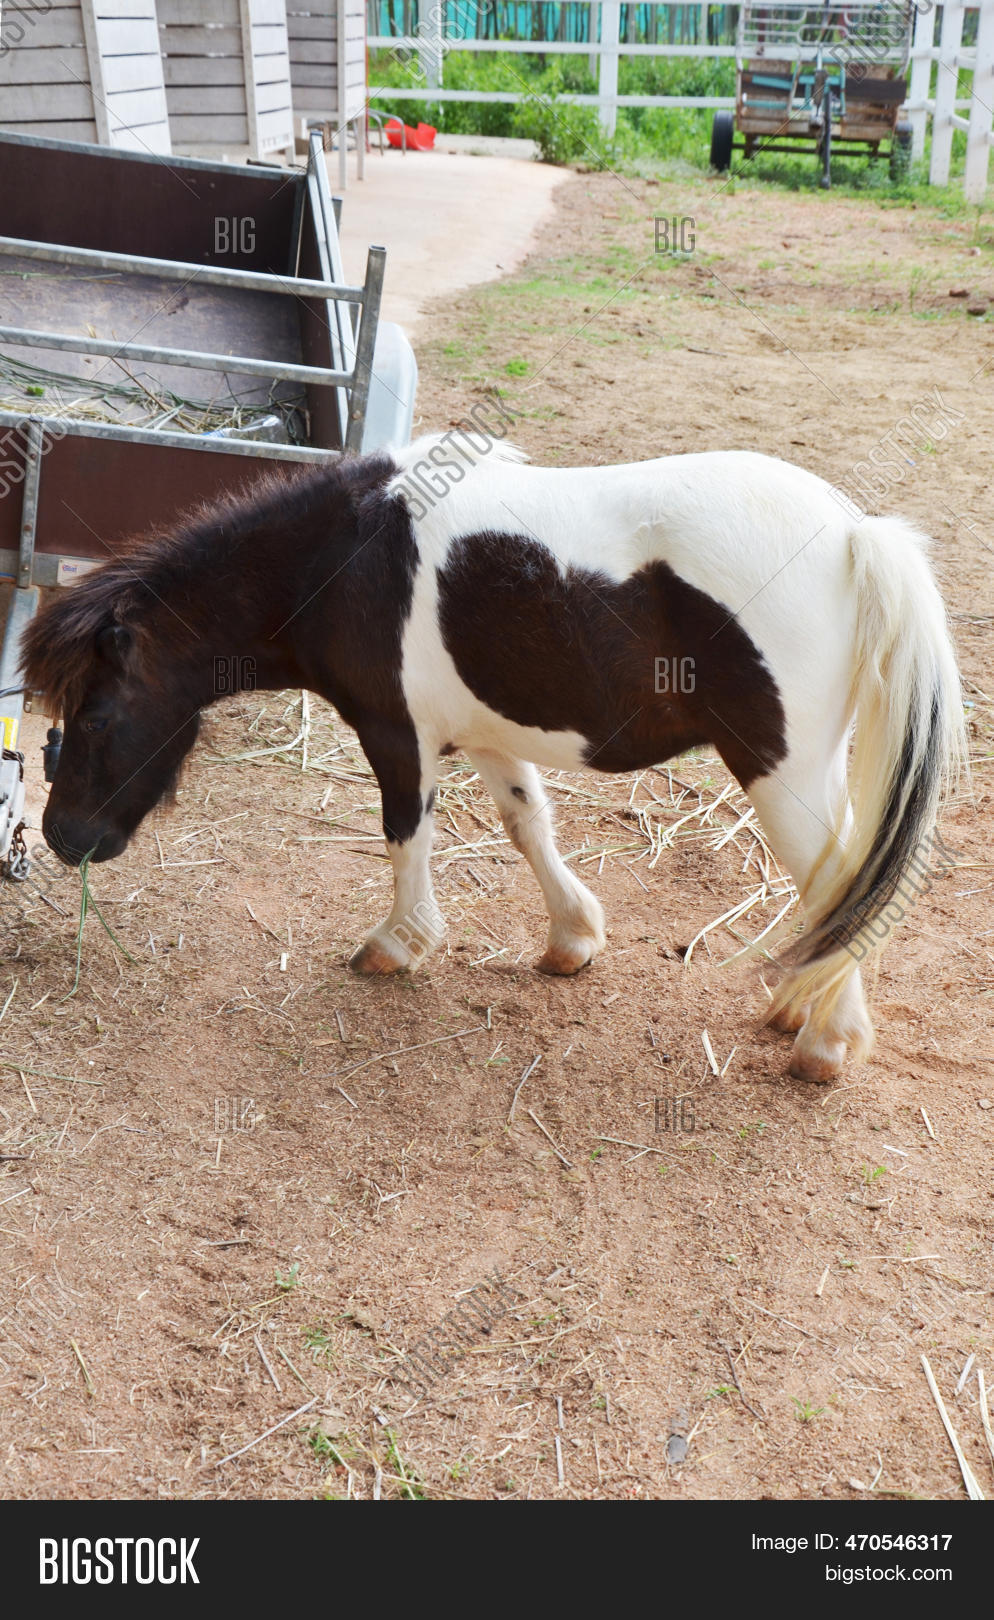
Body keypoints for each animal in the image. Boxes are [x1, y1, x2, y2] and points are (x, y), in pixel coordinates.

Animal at [20, 433, 965, 1084]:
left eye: (94, 715)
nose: (63, 838)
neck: (345, 554)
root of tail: (855, 536)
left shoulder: (395, 733)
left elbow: (407, 835)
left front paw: (398, 944)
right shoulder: (481, 734)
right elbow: (526, 823)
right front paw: (572, 938)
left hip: (782, 770)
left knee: (841, 878)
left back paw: (827, 1041)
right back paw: (802, 1005)